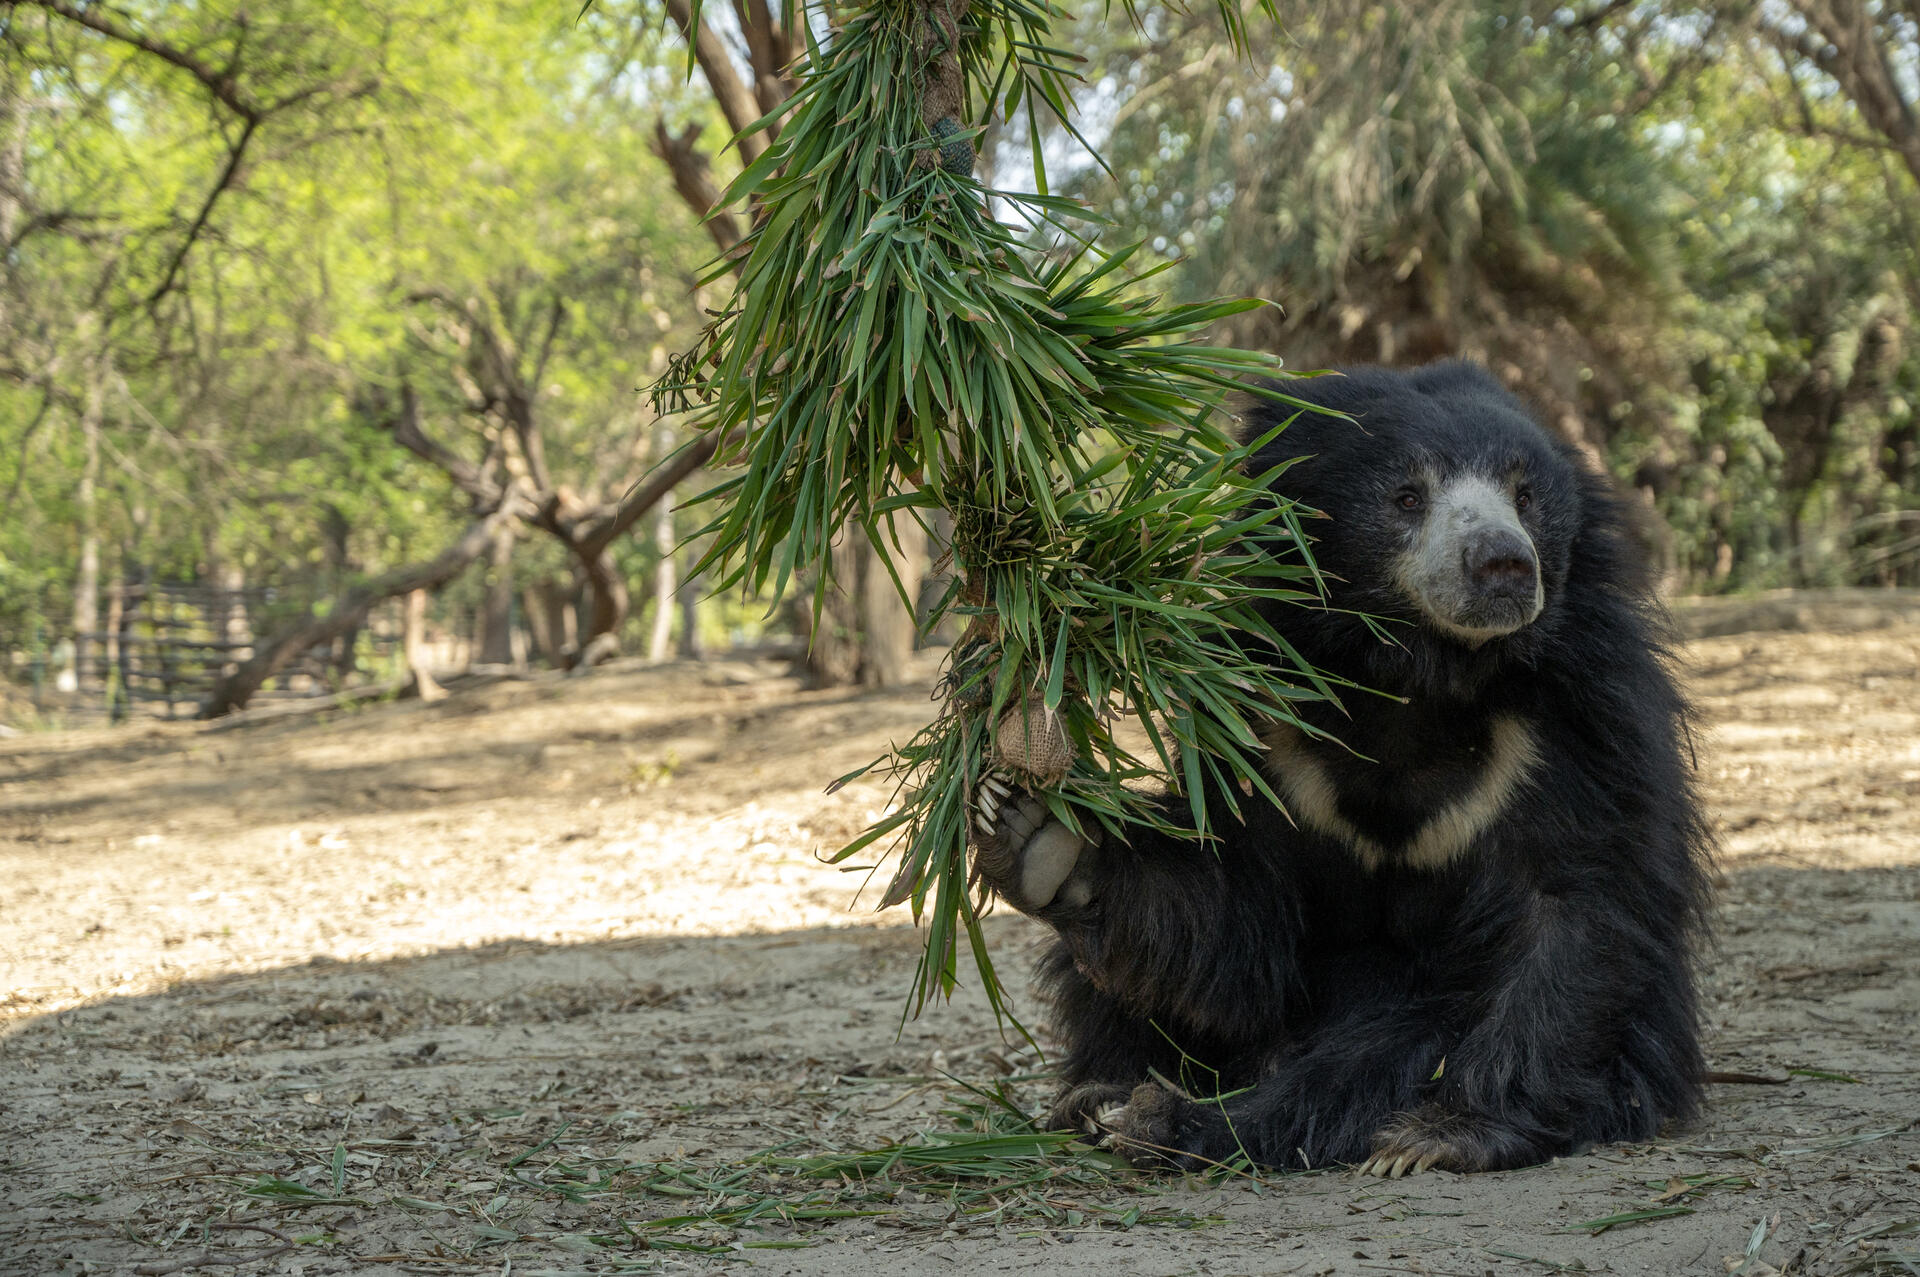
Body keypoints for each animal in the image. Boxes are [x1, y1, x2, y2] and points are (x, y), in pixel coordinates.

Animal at [971, 360, 1713, 1176]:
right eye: (1407, 496)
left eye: (1524, 495)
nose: (1504, 565)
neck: (1416, 679)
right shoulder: (1266, 733)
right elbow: (1237, 916)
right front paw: (1038, 835)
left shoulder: (1572, 722)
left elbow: (1574, 901)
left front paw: (1449, 1130)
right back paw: (1100, 1092)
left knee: (1373, 1059)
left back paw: (1170, 1119)